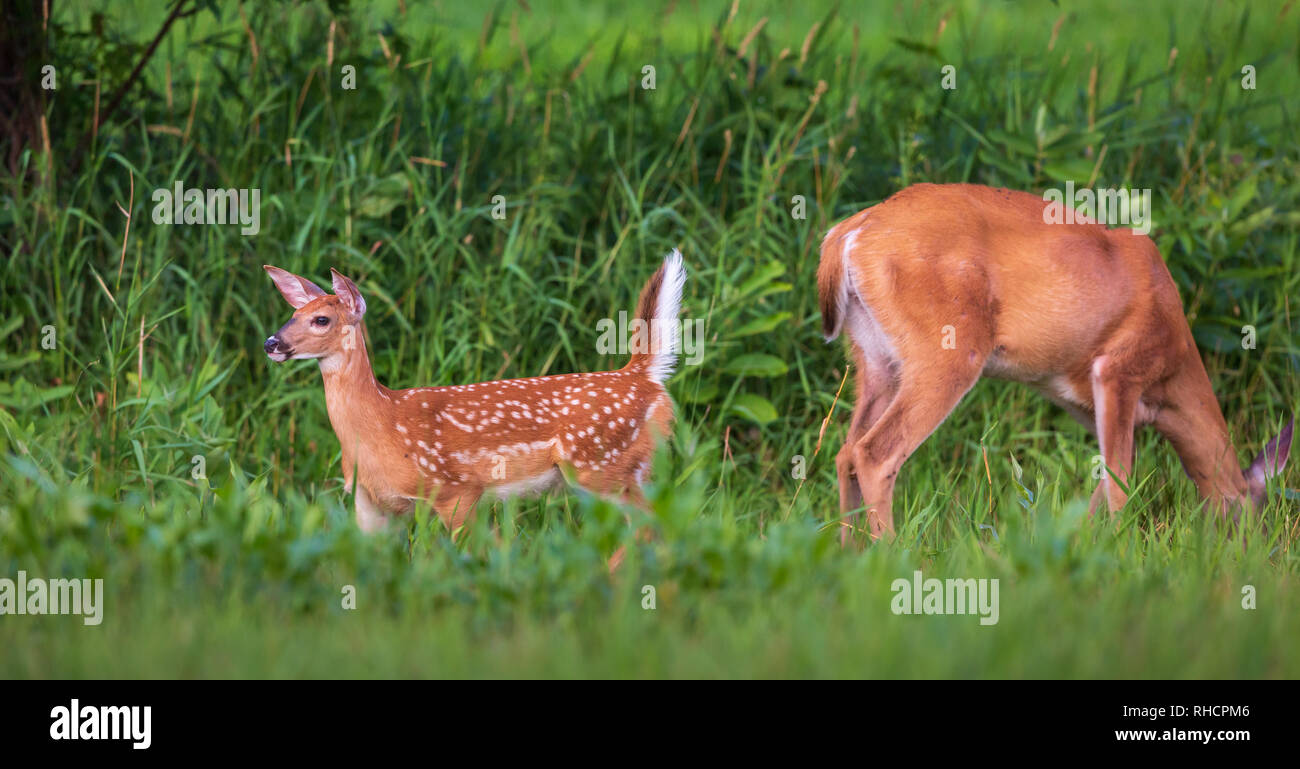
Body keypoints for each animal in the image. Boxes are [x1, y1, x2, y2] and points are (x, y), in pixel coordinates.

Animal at [262, 251, 685, 539]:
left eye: (321, 319)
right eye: (292, 315)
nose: (272, 343)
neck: (383, 422)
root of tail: (644, 378)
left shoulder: (458, 488)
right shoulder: (370, 503)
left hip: (603, 466)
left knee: (653, 526)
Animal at [817, 182, 1293, 544]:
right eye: (1257, 515)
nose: (1252, 553)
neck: (1172, 379)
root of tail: (848, 234)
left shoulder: (1087, 405)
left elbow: (1105, 480)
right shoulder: (1117, 371)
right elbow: (1120, 480)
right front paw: (1120, 554)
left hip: (875, 360)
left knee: (845, 452)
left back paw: (847, 553)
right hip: (947, 350)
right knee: (875, 453)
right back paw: (892, 553)